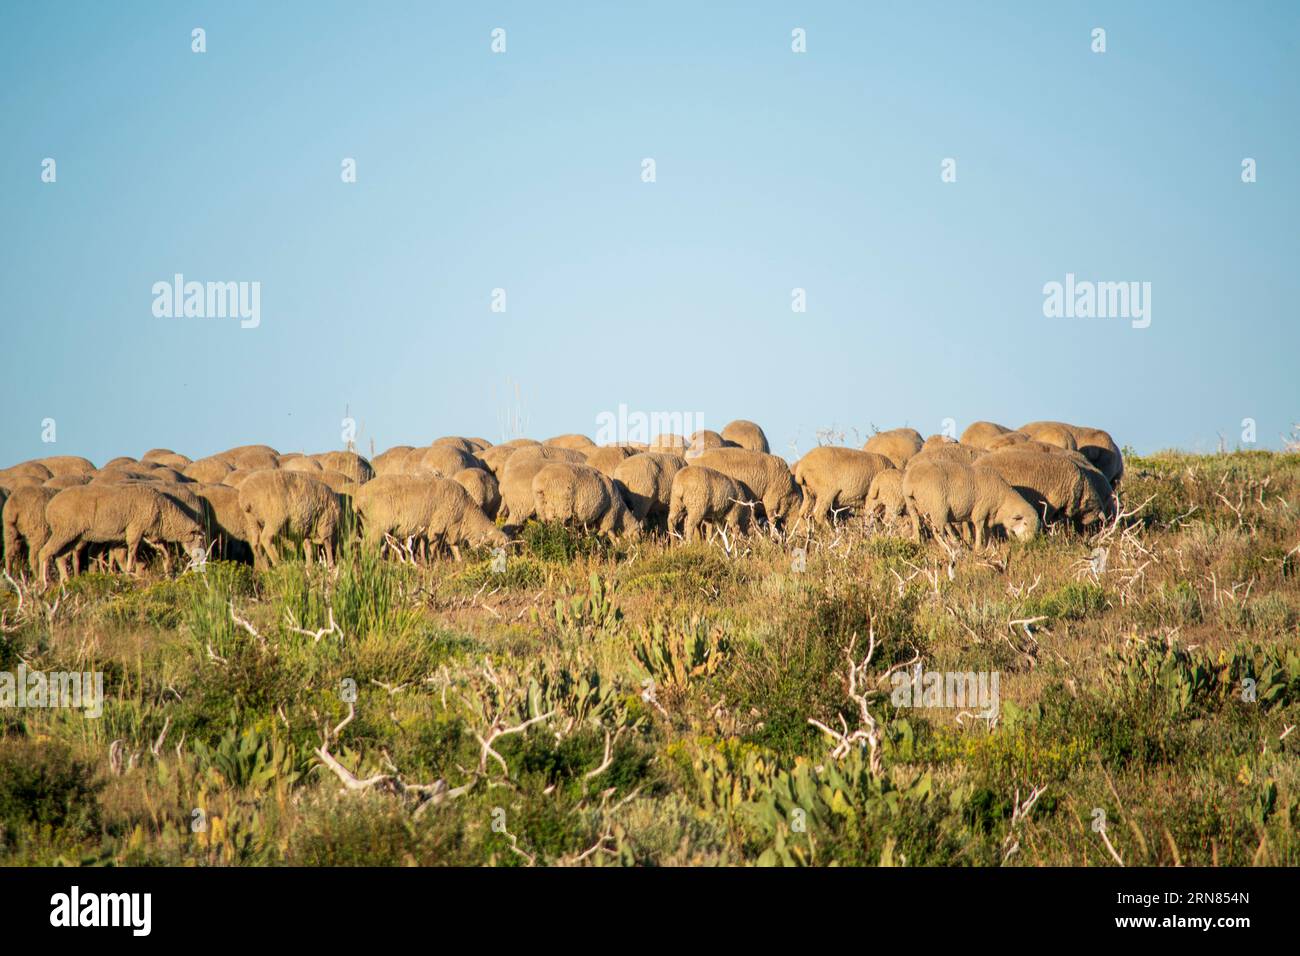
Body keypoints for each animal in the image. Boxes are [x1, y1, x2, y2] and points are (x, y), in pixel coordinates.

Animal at [40, 484, 206, 583]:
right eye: (200, 540)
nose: (202, 559)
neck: (164, 512)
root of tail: (49, 507)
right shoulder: (135, 529)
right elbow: (131, 553)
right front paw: (129, 573)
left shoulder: (149, 535)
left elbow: (164, 553)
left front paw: (168, 572)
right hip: (64, 531)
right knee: (44, 553)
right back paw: (44, 584)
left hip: (72, 535)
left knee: (60, 557)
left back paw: (67, 582)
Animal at [901, 458, 1039, 548]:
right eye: (1025, 523)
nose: (1030, 543)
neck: (1002, 500)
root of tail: (911, 481)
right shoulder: (981, 509)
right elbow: (979, 526)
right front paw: (978, 547)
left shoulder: (990, 513)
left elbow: (987, 529)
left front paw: (989, 545)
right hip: (938, 508)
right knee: (938, 532)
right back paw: (949, 547)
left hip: (912, 504)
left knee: (916, 523)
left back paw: (919, 543)